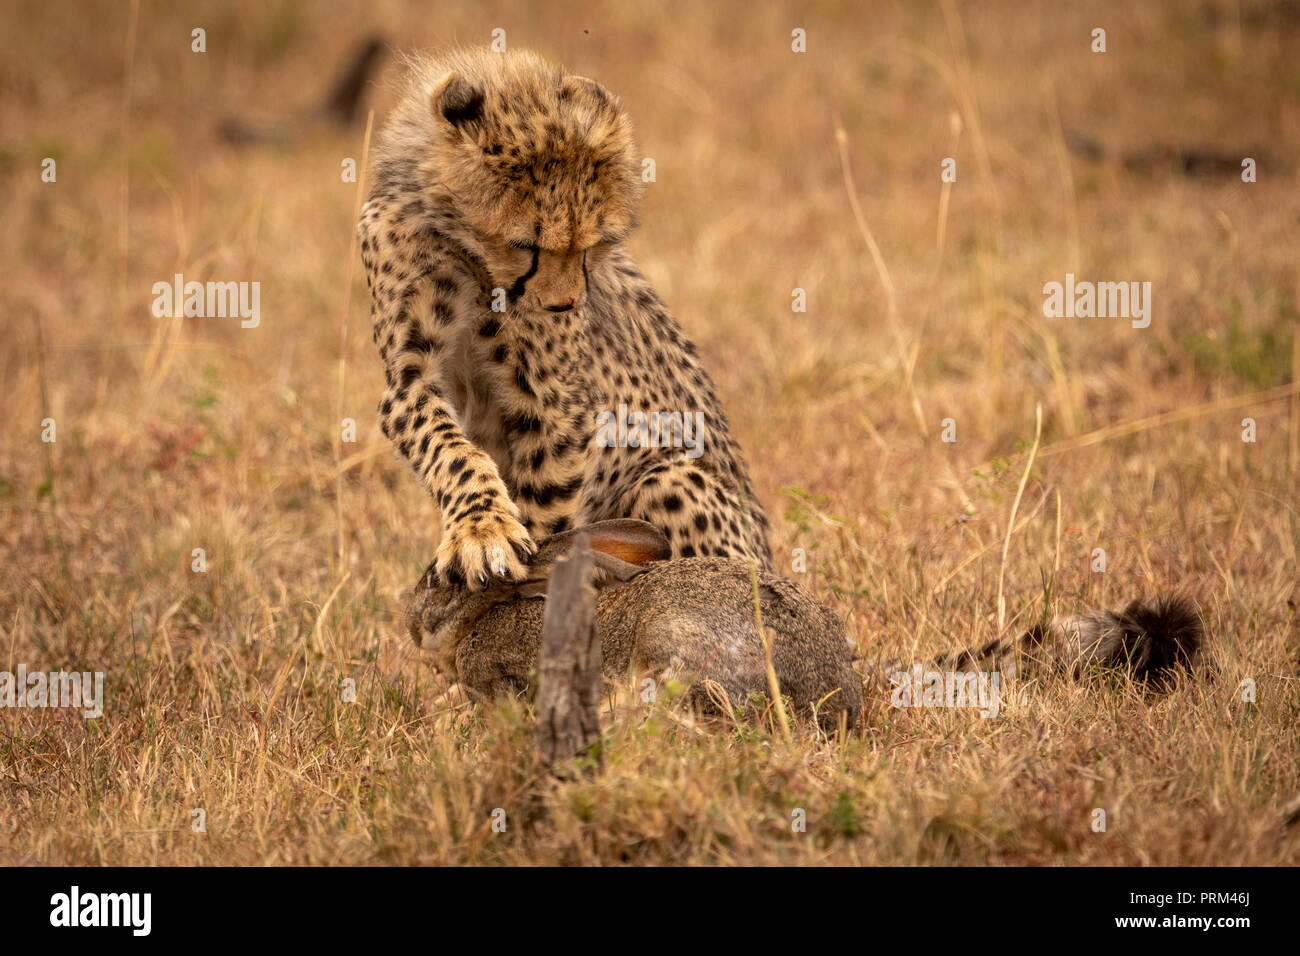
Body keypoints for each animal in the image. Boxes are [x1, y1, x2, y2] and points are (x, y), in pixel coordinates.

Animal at [359, 47, 771, 588]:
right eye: (523, 243)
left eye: (594, 243)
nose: (563, 305)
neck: (467, 253)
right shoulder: (410, 374)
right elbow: (448, 447)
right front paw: (483, 531)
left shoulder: (553, 400)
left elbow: (548, 497)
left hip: (671, 478)